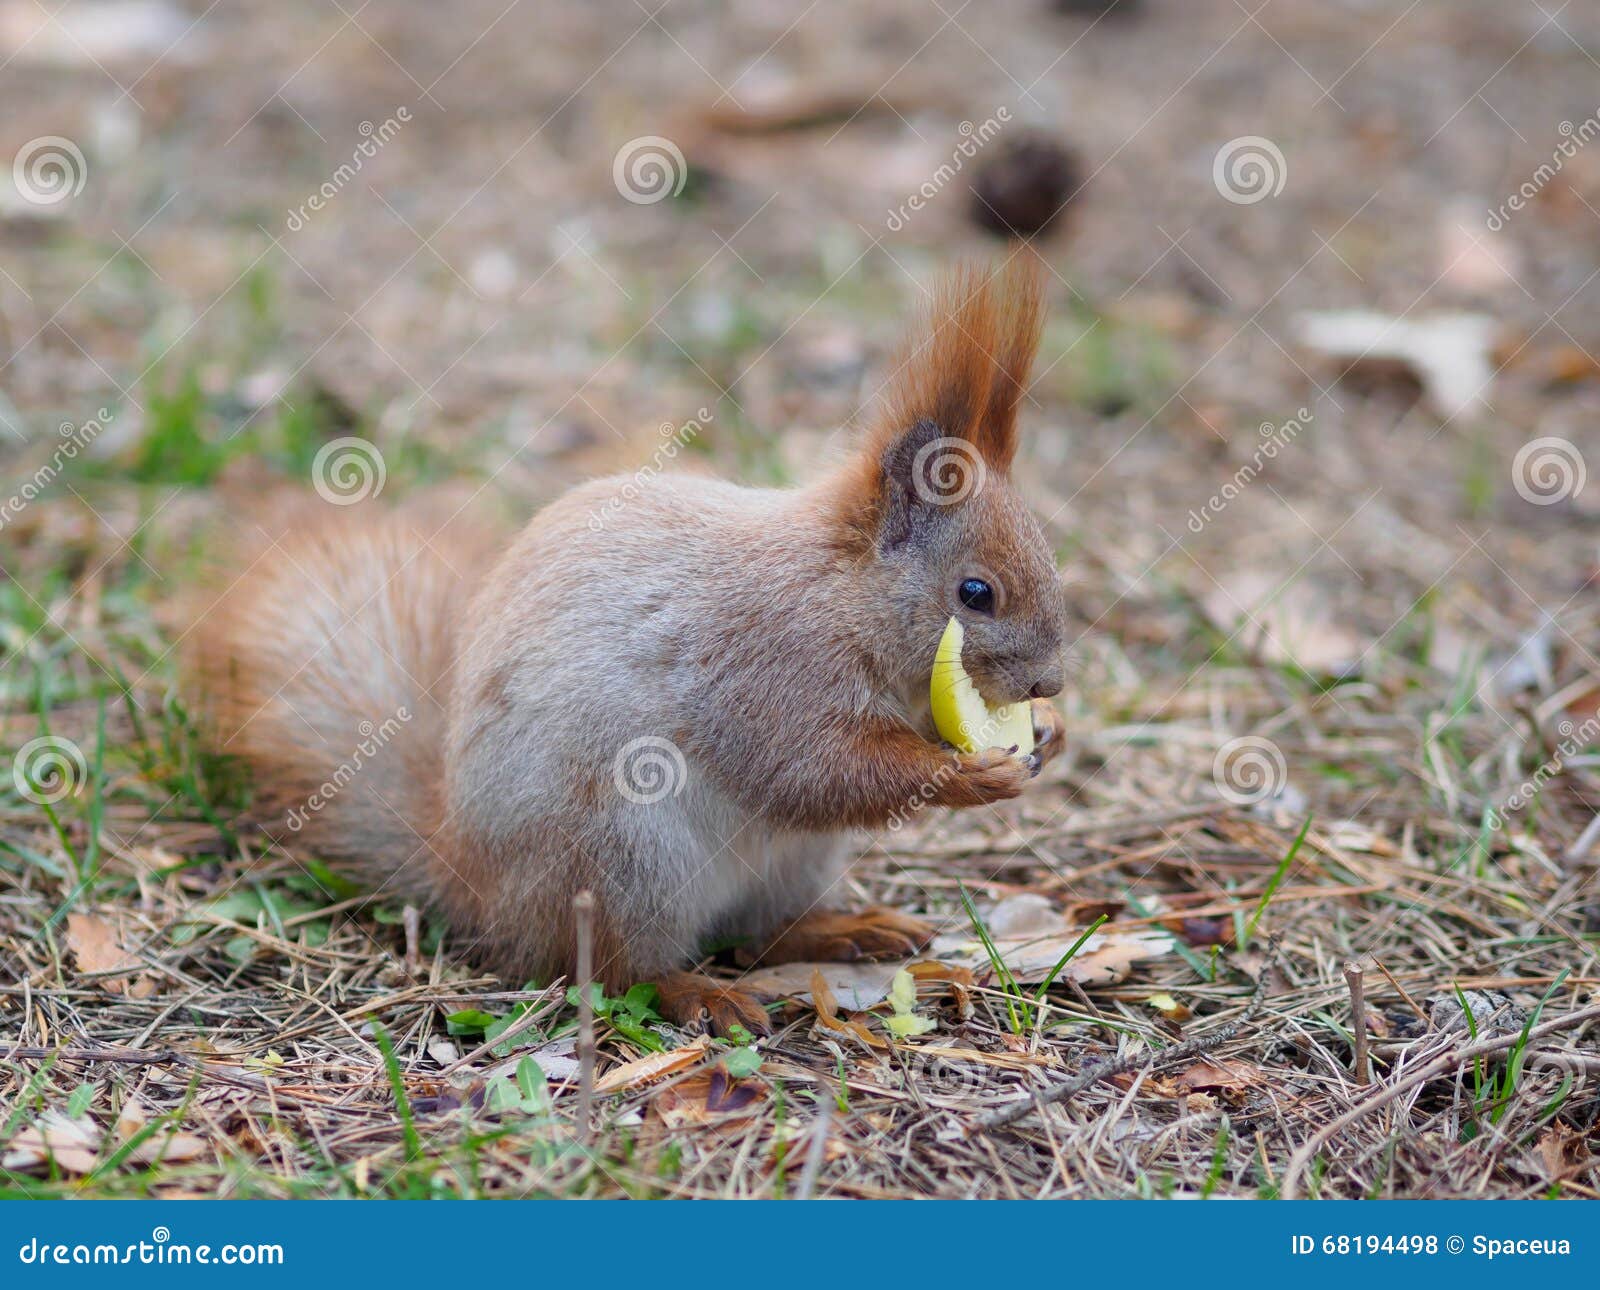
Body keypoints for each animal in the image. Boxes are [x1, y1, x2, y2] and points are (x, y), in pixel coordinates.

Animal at [190, 260, 1068, 1035]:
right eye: (976, 594)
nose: (1050, 685)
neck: (844, 595)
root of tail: (473, 881)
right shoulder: (764, 665)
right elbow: (810, 769)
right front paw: (970, 773)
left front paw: (1049, 741)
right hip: (624, 856)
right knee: (616, 969)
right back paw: (697, 993)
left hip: (790, 864)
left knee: (758, 934)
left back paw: (843, 930)